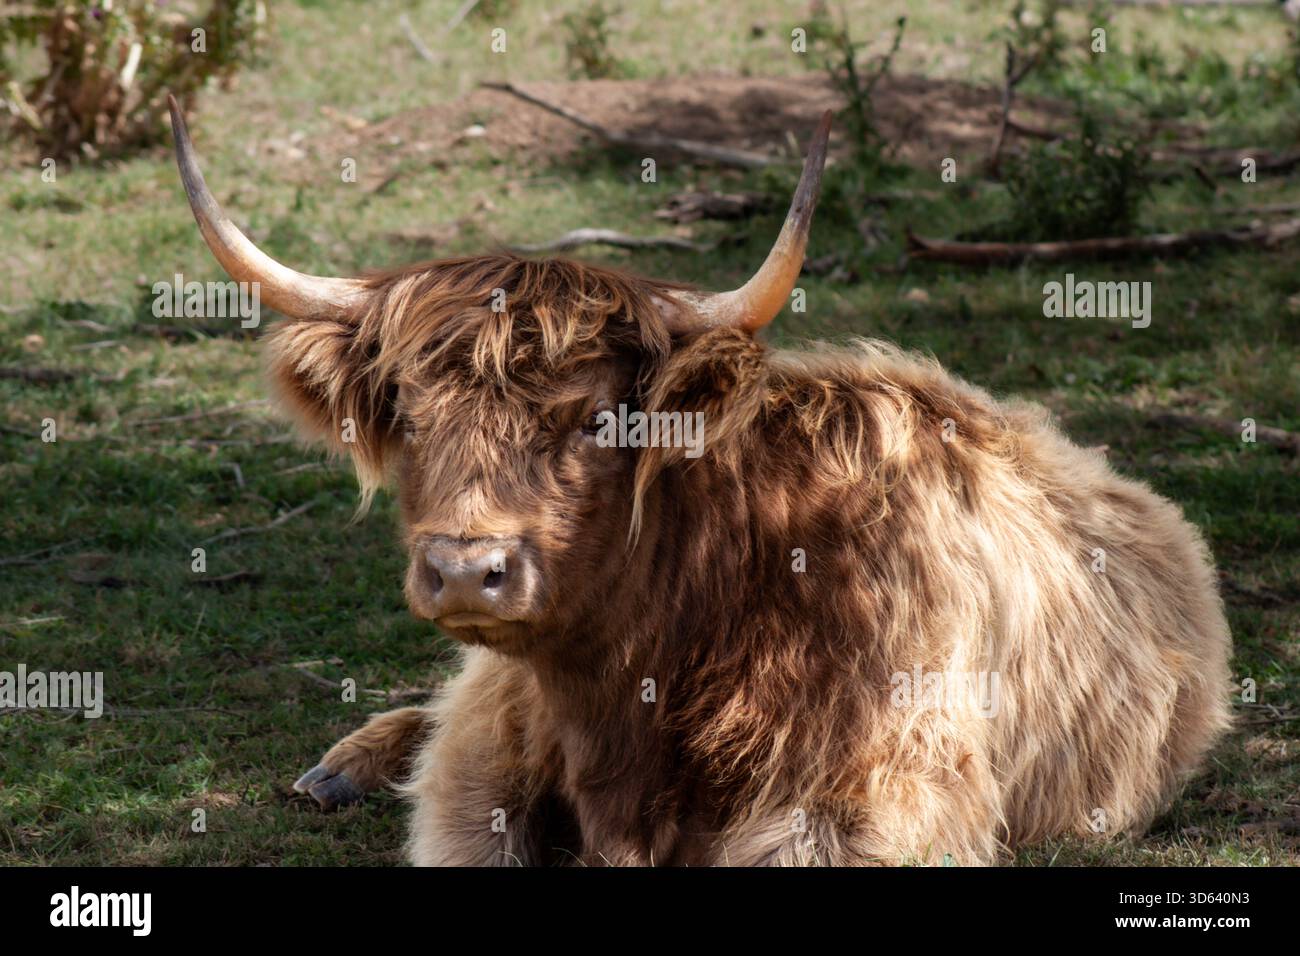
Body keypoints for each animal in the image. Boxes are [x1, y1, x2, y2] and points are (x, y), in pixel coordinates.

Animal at [168, 96, 1233, 865]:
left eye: (597, 418)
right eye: (411, 416)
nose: (468, 572)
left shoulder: (875, 800)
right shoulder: (483, 764)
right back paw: (342, 767)